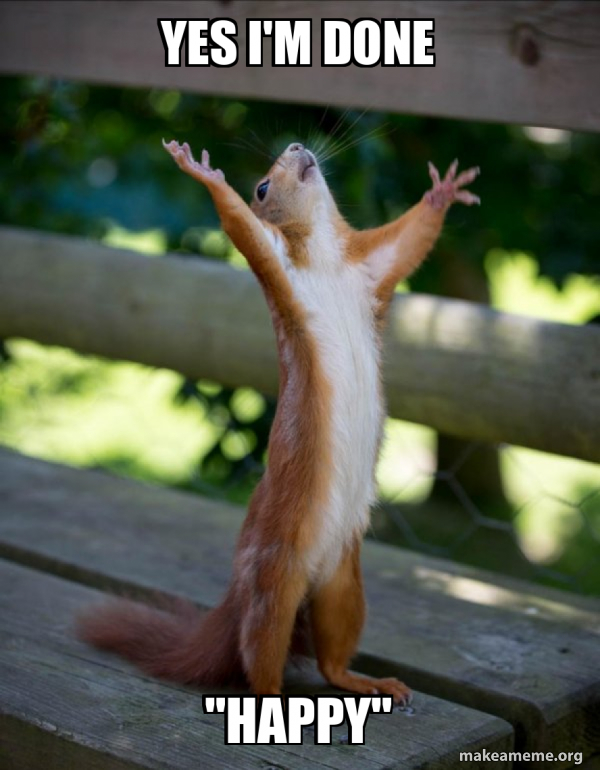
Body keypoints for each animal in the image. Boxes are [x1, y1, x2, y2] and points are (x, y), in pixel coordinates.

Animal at [77, 139, 479, 704]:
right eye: (262, 187)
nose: (296, 146)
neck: (327, 258)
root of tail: (238, 595)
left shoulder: (372, 267)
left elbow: (410, 239)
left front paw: (442, 192)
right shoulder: (277, 264)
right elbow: (240, 226)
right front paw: (203, 173)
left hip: (344, 585)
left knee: (332, 658)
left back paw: (367, 680)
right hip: (273, 583)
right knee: (258, 658)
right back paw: (276, 699)